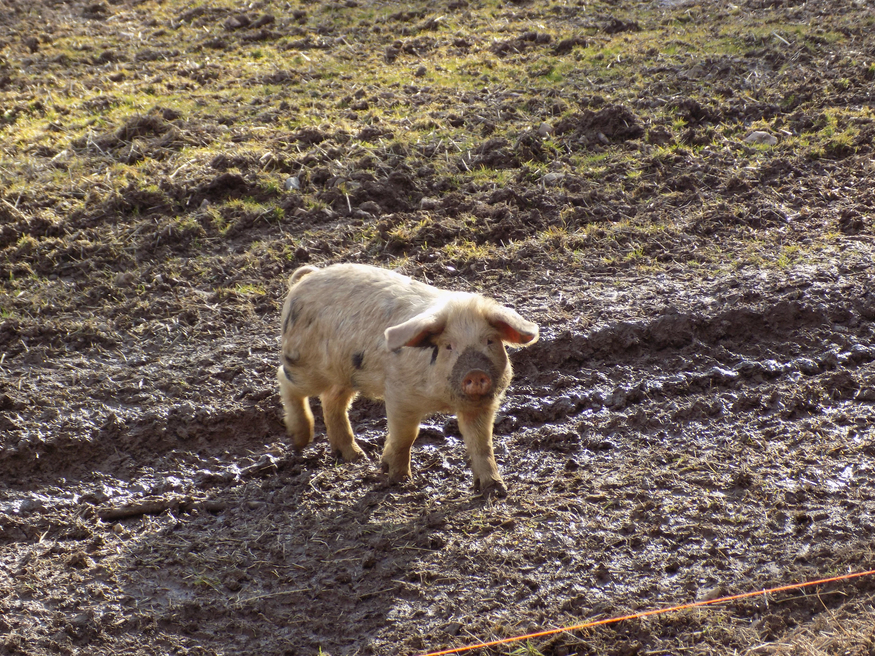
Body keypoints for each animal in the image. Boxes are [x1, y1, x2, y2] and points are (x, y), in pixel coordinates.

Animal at [276, 263, 538, 496]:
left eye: (490, 341)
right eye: (448, 346)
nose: (475, 373)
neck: (442, 401)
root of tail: (309, 276)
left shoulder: (481, 405)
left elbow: (482, 444)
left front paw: (495, 489)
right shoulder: (399, 396)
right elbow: (406, 437)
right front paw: (399, 480)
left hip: (347, 374)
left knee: (332, 401)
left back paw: (356, 456)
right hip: (305, 363)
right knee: (286, 379)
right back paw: (300, 441)